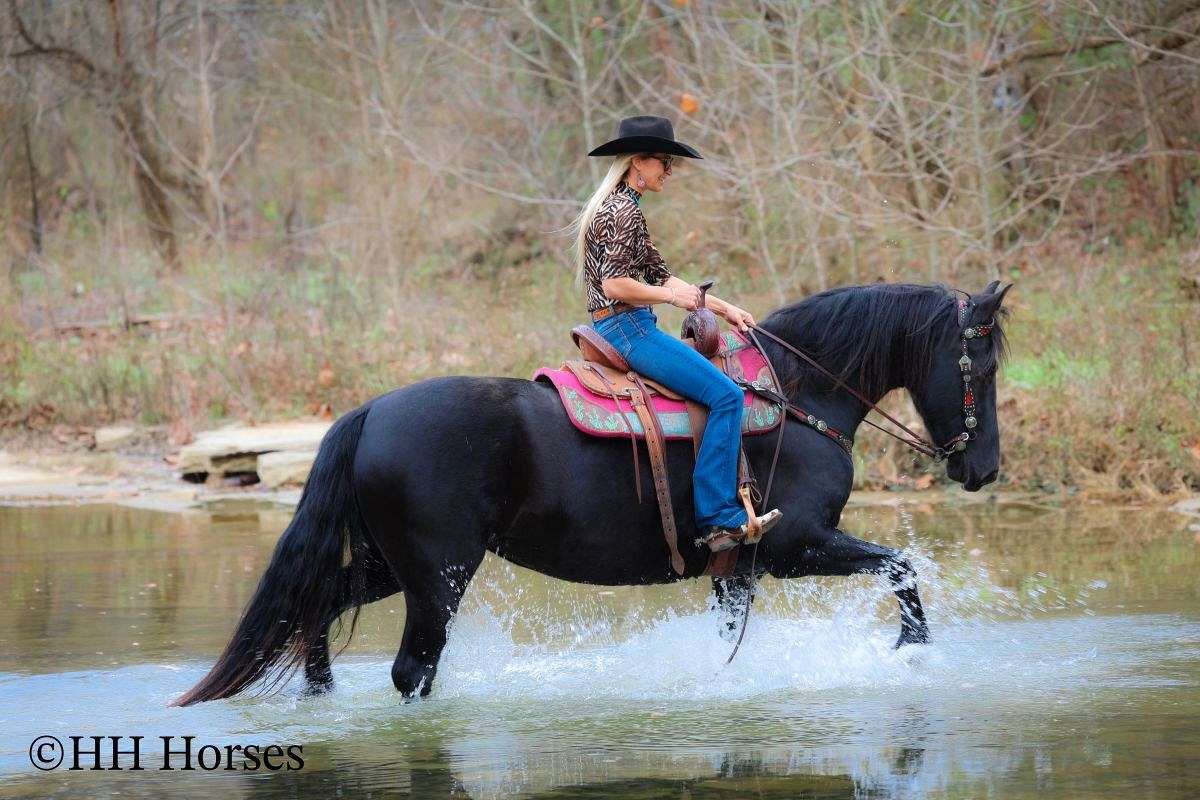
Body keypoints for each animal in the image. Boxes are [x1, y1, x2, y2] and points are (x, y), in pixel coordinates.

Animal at [171, 280, 1011, 706]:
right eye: (984, 363)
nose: (985, 469)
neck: (798, 397)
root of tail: (372, 411)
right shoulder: (794, 546)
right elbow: (901, 566)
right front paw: (910, 652)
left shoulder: (739, 569)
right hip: (438, 576)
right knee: (412, 670)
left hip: (390, 567)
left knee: (315, 610)